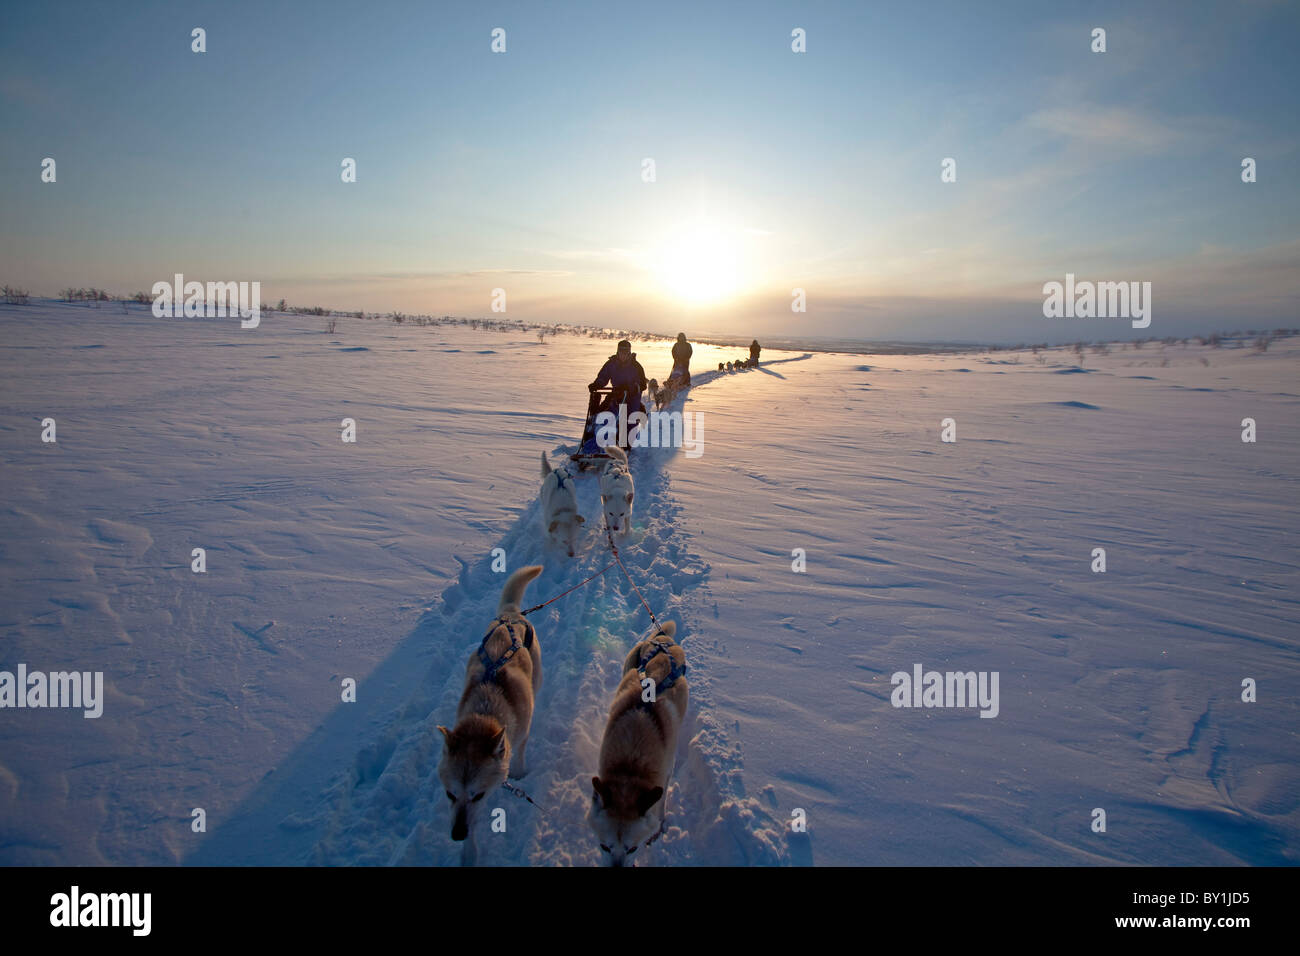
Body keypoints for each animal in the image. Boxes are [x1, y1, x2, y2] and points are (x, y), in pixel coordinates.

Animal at [434, 564, 540, 863]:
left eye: (478, 795)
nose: (457, 834)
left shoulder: (522, 731)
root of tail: (510, 615)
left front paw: (518, 772)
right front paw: (469, 853)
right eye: (449, 794)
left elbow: (521, 751)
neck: (486, 710)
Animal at [592, 621, 691, 868]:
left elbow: (661, 804)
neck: (631, 764)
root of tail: (663, 639)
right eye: (604, 846)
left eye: (633, 849)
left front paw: (658, 828)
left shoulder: (665, 773)